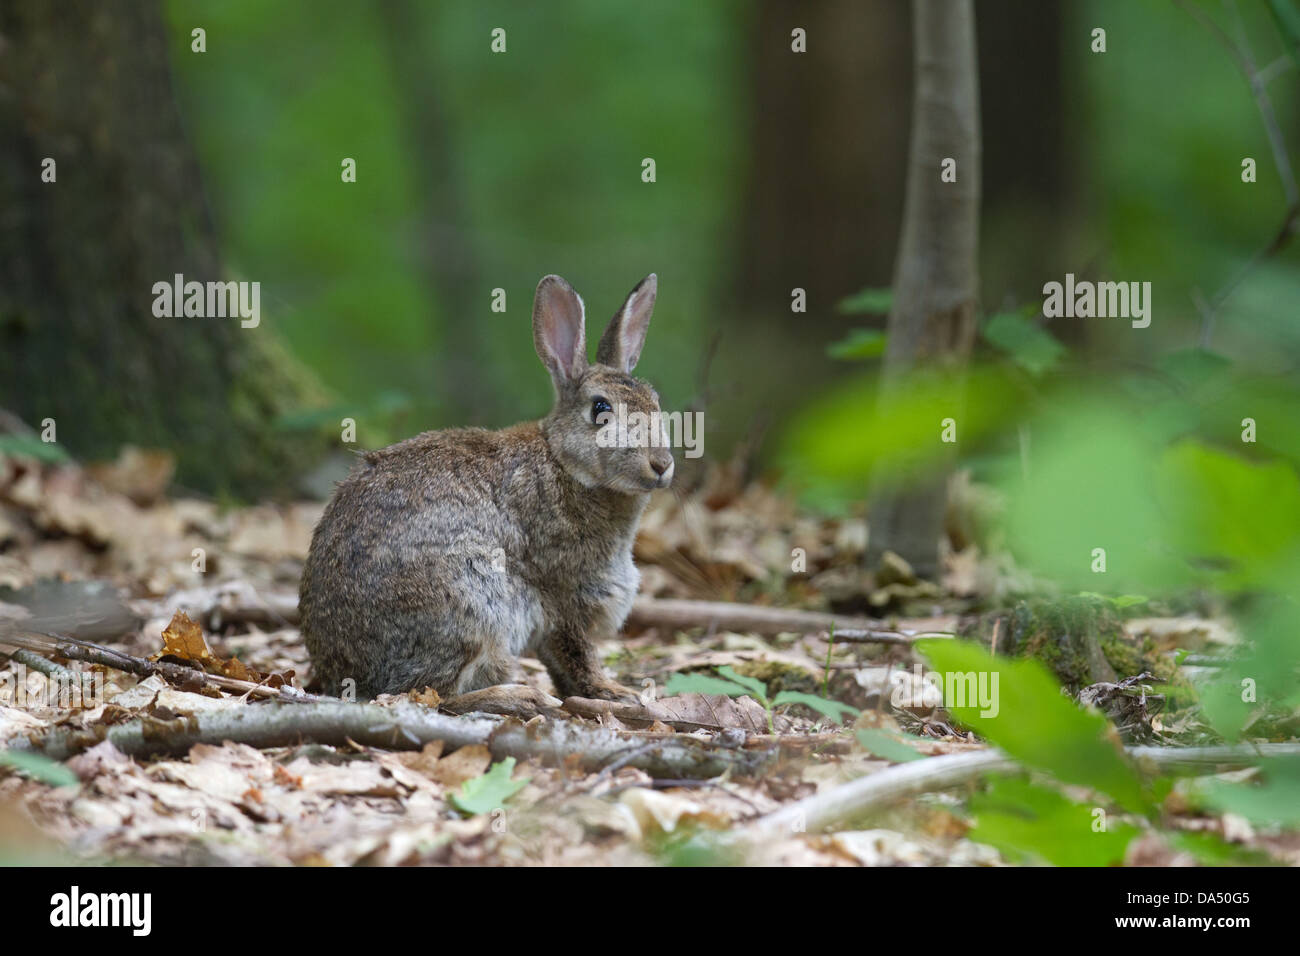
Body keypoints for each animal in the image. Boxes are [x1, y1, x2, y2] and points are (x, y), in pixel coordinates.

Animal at [299, 274, 674, 714]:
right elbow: (577, 655)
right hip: (471, 603)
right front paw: (615, 692)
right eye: (601, 409)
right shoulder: (566, 598)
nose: (661, 464)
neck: (566, 465)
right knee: (427, 694)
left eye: (655, 402)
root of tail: (342, 670)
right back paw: (521, 698)